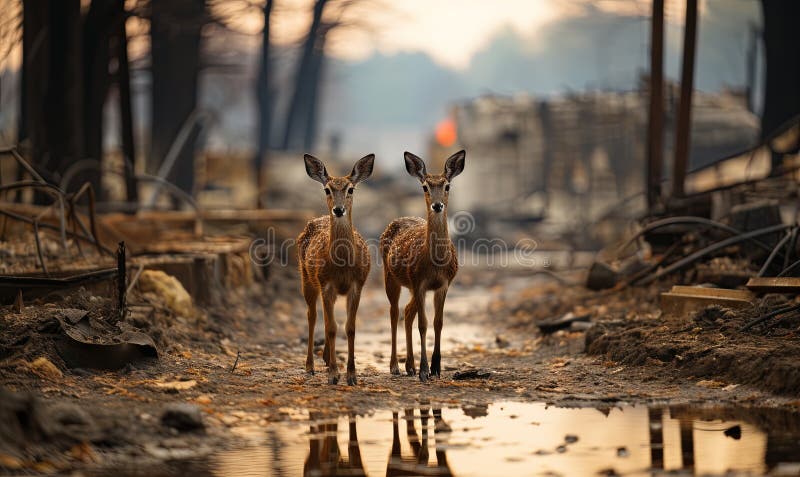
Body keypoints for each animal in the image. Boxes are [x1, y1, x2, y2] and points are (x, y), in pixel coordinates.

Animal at [297, 153, 375, 385]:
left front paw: (351, 375)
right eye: (327, 190)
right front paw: (333, 374)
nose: (338, 209)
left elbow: (350, 328)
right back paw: (310, 366)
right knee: (312, 316)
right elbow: (332, 328)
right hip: (307, 278)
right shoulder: (326, 284)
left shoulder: (358, 285)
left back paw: (325, 359)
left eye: (351, 189)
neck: (343, 266)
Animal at [380, 150, 466, 382]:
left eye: (447, 186)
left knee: (408, 312)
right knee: (394, 313)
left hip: (410, 284)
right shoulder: (419, 282)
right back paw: (395, 366)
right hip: (390, 276)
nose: (437, 205)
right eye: (425, 187)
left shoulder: (443, 284)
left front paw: (436, 368)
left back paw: (409, 365)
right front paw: (424, 370)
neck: (435, 263)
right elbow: (423, 324)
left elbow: (438, 322)